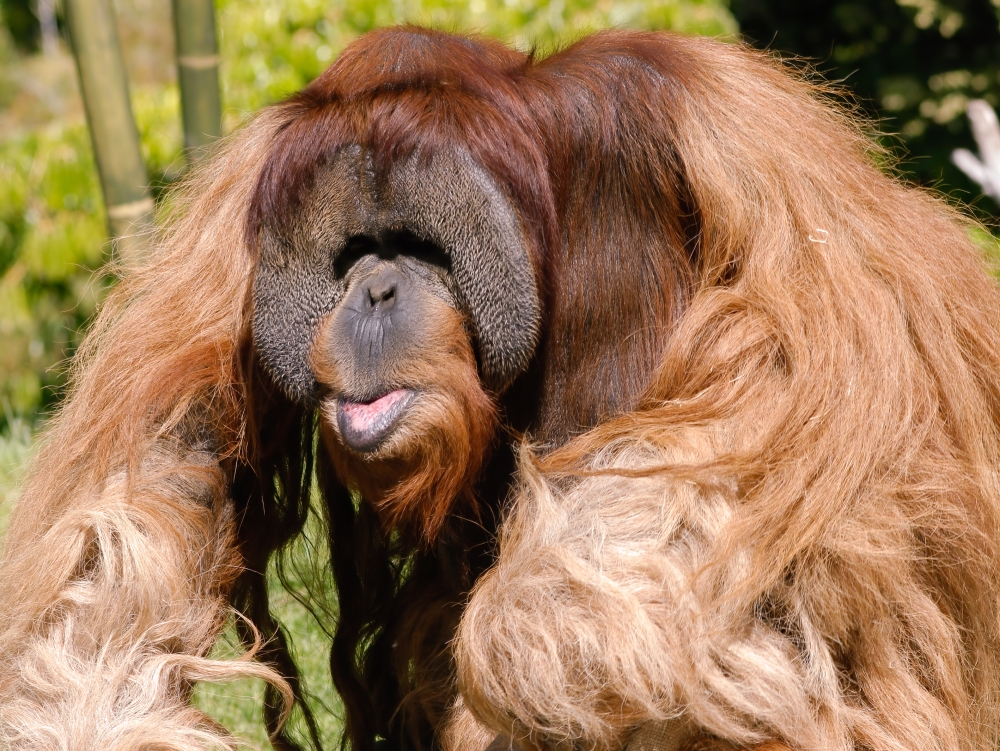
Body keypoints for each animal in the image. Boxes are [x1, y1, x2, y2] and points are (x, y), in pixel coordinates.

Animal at [2, 24, 1000, 751]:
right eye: (354, 252)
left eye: (419, 247)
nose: (374, 291)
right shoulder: (238, 201)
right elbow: (145, 477)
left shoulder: (714, 117)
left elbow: (831, 375)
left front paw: (538, 622)